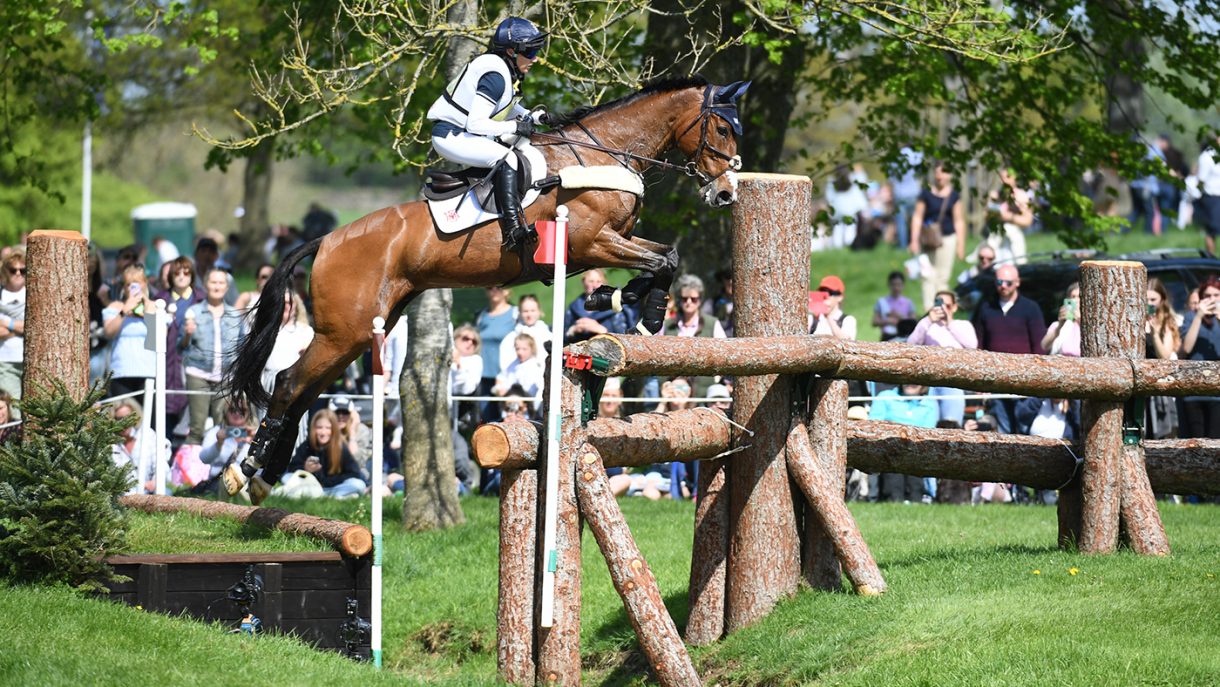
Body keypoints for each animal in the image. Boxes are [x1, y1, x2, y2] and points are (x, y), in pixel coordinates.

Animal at [220, 76, 749, 502]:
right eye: (723, 130)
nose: (726, 194)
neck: (604, 153)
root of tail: (327, 240)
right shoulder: (591, 242)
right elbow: (660, 261)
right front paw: (640, 312)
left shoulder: (613, 241)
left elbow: (667, 258)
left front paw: (617, 301)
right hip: (344, 331)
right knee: (289, 383)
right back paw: (244, 470)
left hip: (361, 330)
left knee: (303, 390)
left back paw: (264, 477)